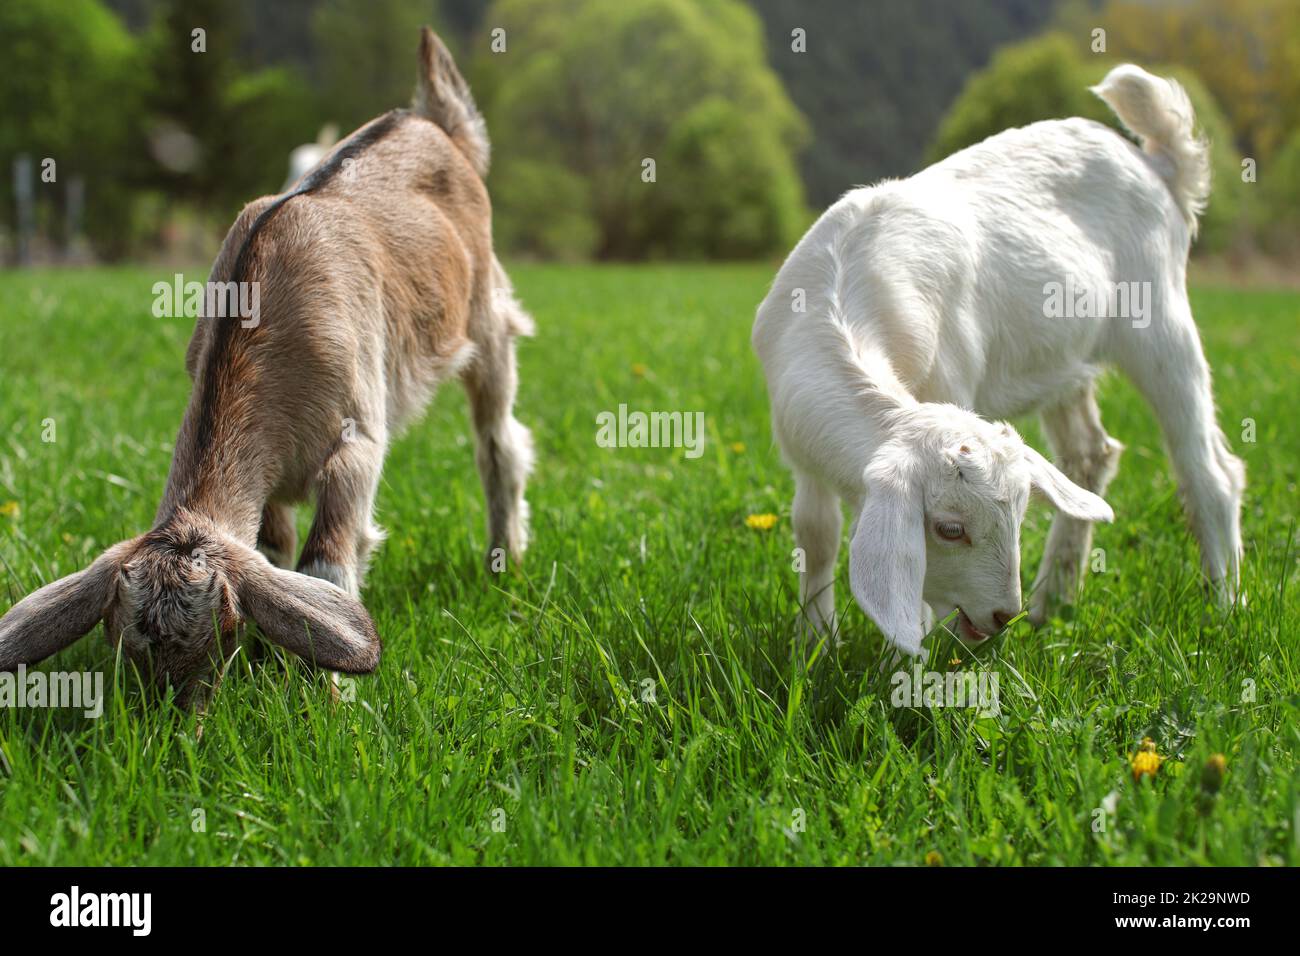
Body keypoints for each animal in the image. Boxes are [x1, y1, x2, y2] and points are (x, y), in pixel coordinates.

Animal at [0, 28, 534, 705]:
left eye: (223, 624)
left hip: (487, 318)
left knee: (499, 442)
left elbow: (325, 561)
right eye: (120, 640)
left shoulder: (357, 440)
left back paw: (504, 558)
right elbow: (275, 547)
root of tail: (435, 120)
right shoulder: (270, 475)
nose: (174, 715)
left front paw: (331, 697)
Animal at [752, 64, 1244, 656]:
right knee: (1091, 453)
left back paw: (1224, 605)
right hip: (1064, 360)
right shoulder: (802, 448)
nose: (1002, 615)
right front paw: (813, 642)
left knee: (1210, 471)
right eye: (949, 528)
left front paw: (908, 653)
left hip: (1162, 320)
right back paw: (1053, 600)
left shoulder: (952, 379)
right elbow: (816, 533)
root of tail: (1156, 162)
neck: (843, 295)